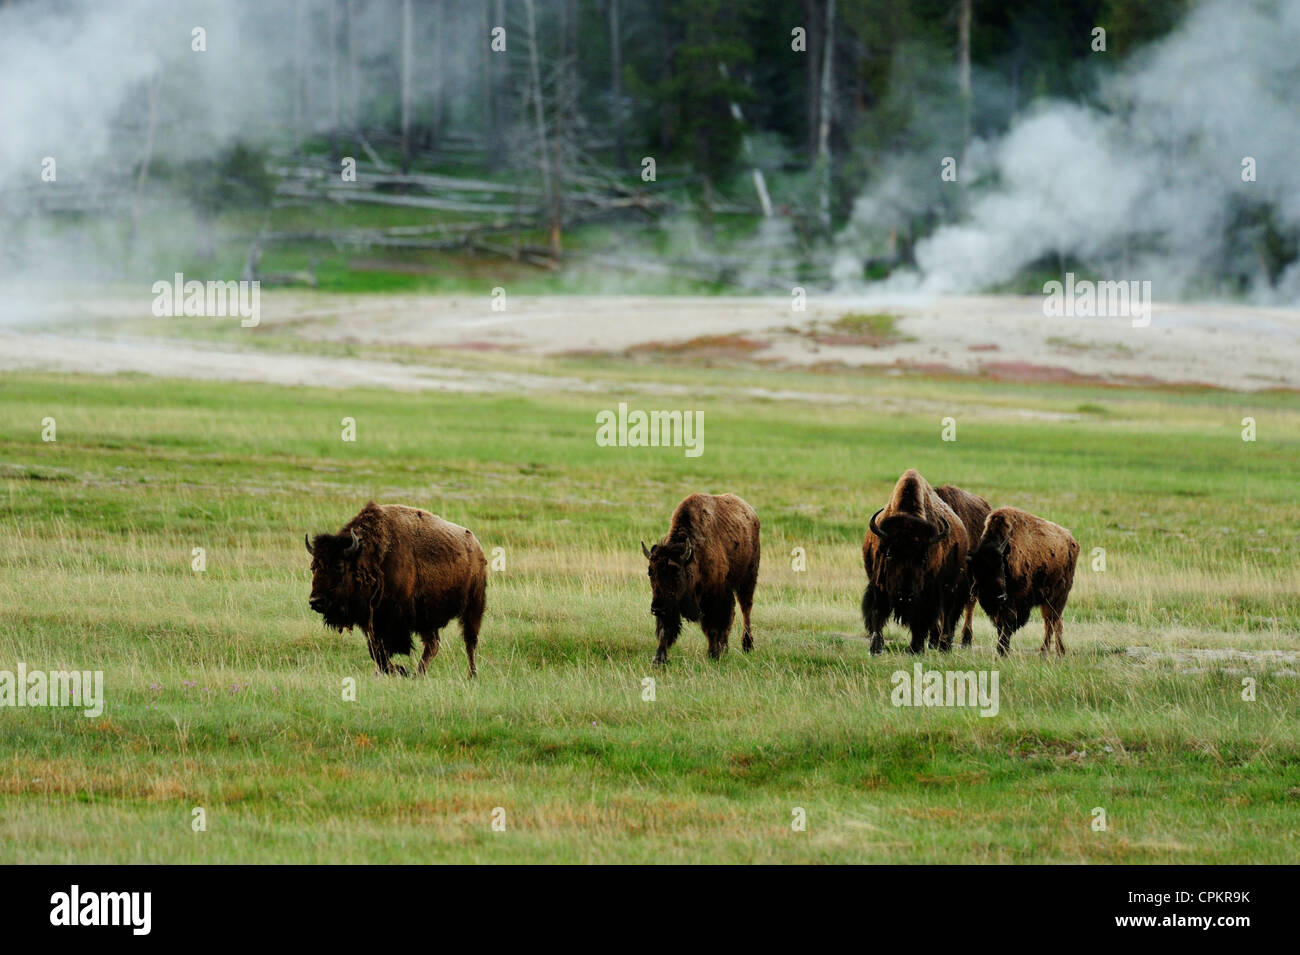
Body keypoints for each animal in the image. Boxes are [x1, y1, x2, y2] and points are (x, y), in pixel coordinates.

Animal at [306, 502, 486, 677]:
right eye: (313, 567)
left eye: (338, 566)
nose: (315, 601)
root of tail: (476, 547)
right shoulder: (372, 620)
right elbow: (376, 651)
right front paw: (396, 670)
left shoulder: (390, 619)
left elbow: (382, 650)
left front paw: (399, 670)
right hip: (427, 619)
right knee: (433, 644)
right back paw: (418, 674)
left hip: (473, 608)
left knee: (470, 642)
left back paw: (471, 675)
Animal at [641, 492, 760, 665]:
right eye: (650, 572)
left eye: (676, 572)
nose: (657, 609)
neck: (692, 558)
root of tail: (751, 512)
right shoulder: (671, 605)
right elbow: (665, 630)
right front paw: (658, 660)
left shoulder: (713, 598)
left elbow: (712, 628)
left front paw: (713, 655)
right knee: (732, 616)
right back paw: (725, 649)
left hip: (748, 579)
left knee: (746, 610)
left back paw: (747, 646)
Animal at [862, 469, 971, 654]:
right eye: (889, 554)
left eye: (924, 558)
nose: (905, 595)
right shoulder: (878, 585)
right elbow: (877, 614)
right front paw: (875, 648)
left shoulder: (929, 593)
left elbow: (921, 621)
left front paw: (915, 649)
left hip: (952, 589)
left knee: (948, 616)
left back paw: (944, 647)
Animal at [968, 506, 1079, 656]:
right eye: (977, 571)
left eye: (1001, 566)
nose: (999, 597)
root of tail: (1072, 541)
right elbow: (1000, 624)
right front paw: (1003, 649)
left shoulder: (1016, 599)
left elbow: (1008, 621)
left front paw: (1002, 650)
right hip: (1047, 601)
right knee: (1055, 622)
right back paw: (1060, 651)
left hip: (1057, 597)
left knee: (1051, 622)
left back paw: (1043, 651)